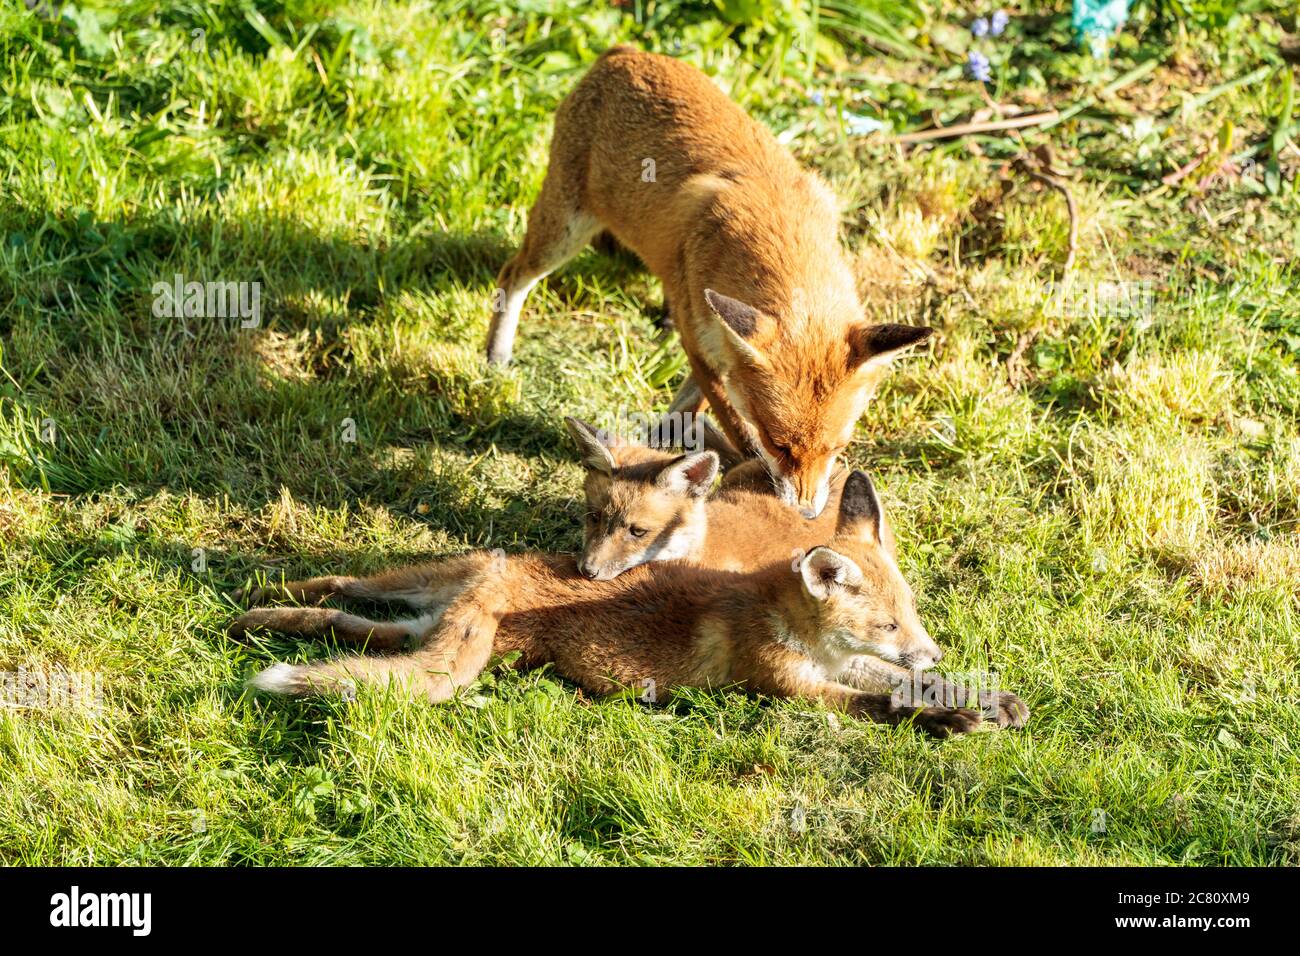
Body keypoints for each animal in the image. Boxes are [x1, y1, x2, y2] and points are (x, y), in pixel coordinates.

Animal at [232, 472, 1029, 737]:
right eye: (888, 622)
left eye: (913, 615)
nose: (933, 647)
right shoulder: (790, 688)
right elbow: (886, 703)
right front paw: (950, 719)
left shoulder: (836, 667)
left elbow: (901, 682)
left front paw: (983, 697)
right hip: (452, 633)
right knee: (355, 599)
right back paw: (266, 605)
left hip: (424, 620)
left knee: (346, 612)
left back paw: (265, 611)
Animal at [485, 46, 933, 518]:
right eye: (779, 443)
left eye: (837, 447)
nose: (807, 514)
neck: (776, 232)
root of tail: (623, 52)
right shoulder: (701, 345)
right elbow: (737, 428)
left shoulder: (714, 341)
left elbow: (684, 405)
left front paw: (658, 448)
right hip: (563, 231)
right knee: (512, 275)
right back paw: (497, 354)